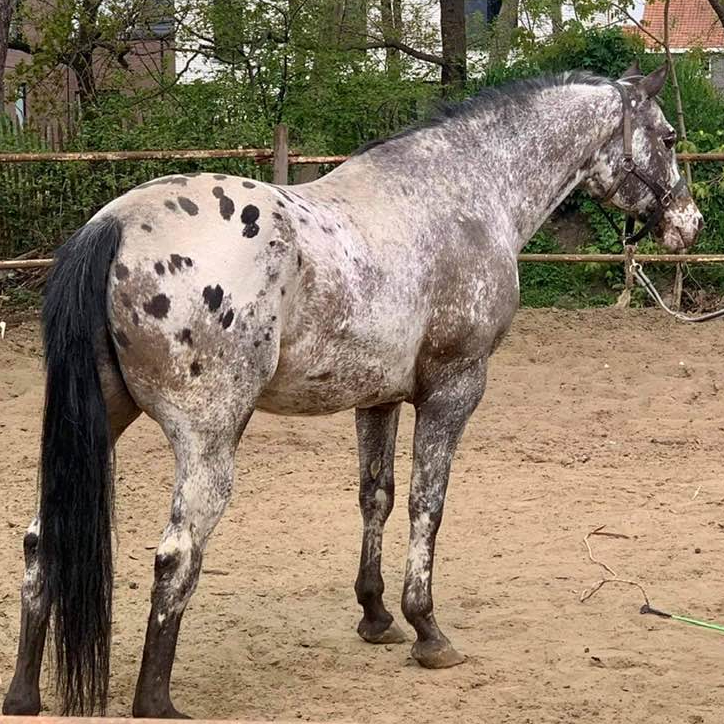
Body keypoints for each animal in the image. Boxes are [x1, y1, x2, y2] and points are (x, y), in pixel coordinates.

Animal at [2, 63, 703, 718]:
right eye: (668, 137)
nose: (690, 224)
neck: (466, 192)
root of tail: (115, 225)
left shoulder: (378, 398)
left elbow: (377, 497)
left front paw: (376, 616)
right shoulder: (454, 391)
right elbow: (426, 505)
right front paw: (426, 629)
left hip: (99, 425)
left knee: (41, 540)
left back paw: (23, 694)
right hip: (207, 444)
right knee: (176, 556)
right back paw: (156, 701)